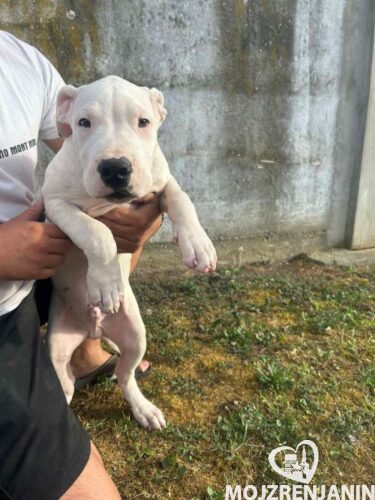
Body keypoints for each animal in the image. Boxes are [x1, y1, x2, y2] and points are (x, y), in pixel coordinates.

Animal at [42, 76, 216, 428]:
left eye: (143, 122)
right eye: (83, 123)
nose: (114, 168)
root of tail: (93, 328)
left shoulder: (160, 180)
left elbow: (180, 197)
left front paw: (198, 244)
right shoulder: (55, 204)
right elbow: (97, 232)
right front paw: (106, 284)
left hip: (136, 335)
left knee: (125, 375)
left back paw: (143, 408)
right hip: (56, 349)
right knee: (66, 385)